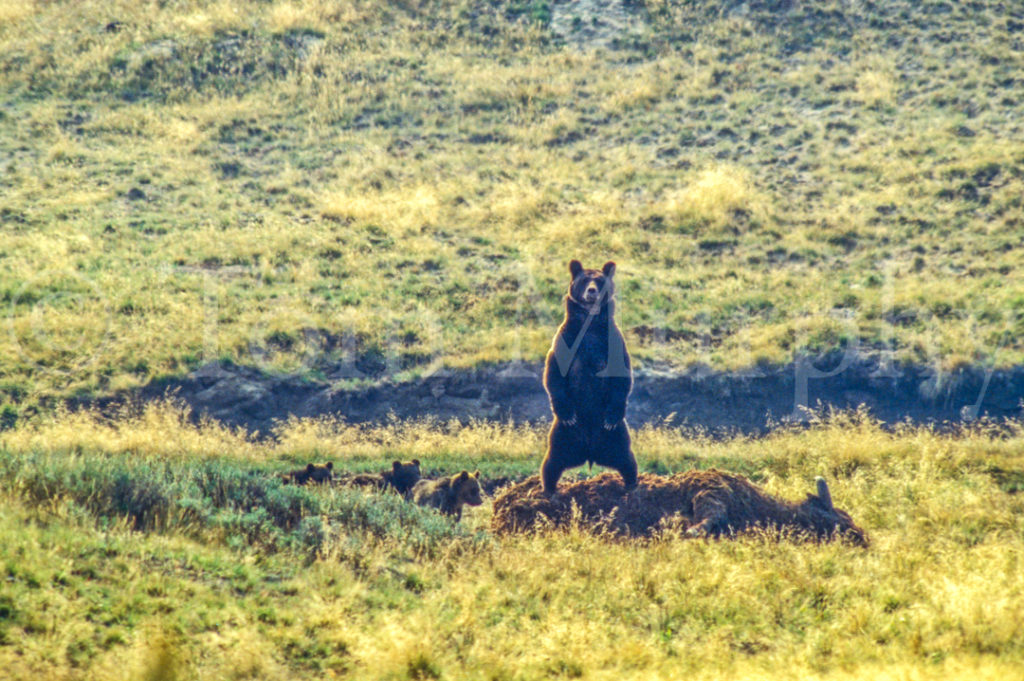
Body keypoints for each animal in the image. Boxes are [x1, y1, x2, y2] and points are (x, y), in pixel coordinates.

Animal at [541, 259, 638, 494]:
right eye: (585, 279)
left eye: (600, 280)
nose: (592, 291)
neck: (590, 325)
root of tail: (590, 452)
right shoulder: (566, 340)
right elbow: (554, 372)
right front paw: (567, 413)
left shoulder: (611, 342)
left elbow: (622, 375)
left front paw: (612, 416)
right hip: (562, 434)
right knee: (552, 461)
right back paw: (548, 489)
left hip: (616, 435)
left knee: (626, 457)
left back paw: (632, 483)